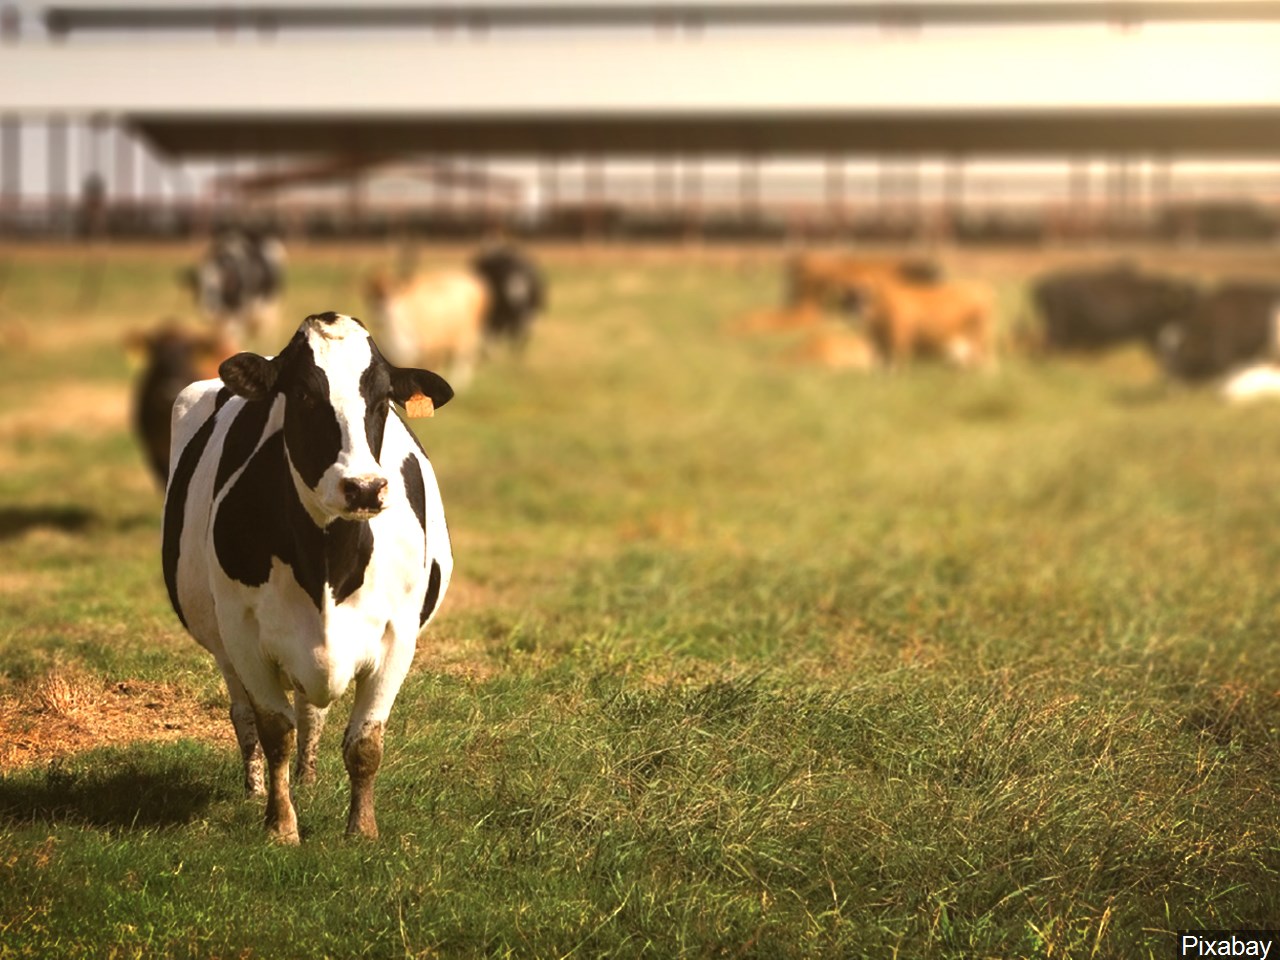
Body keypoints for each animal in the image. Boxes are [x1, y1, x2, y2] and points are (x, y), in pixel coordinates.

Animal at [163, 312, 454, 843]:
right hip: (221, 642)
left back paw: (310, 778)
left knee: (311, 711)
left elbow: (365, 741)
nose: (364, 487)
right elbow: (275, 730)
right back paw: (255, 787)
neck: (326, 566)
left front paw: (361, 829)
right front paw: (280, 824)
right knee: (244, 714)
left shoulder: (397, 637)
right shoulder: (243, 635)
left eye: (382, 399)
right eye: (302, 395)